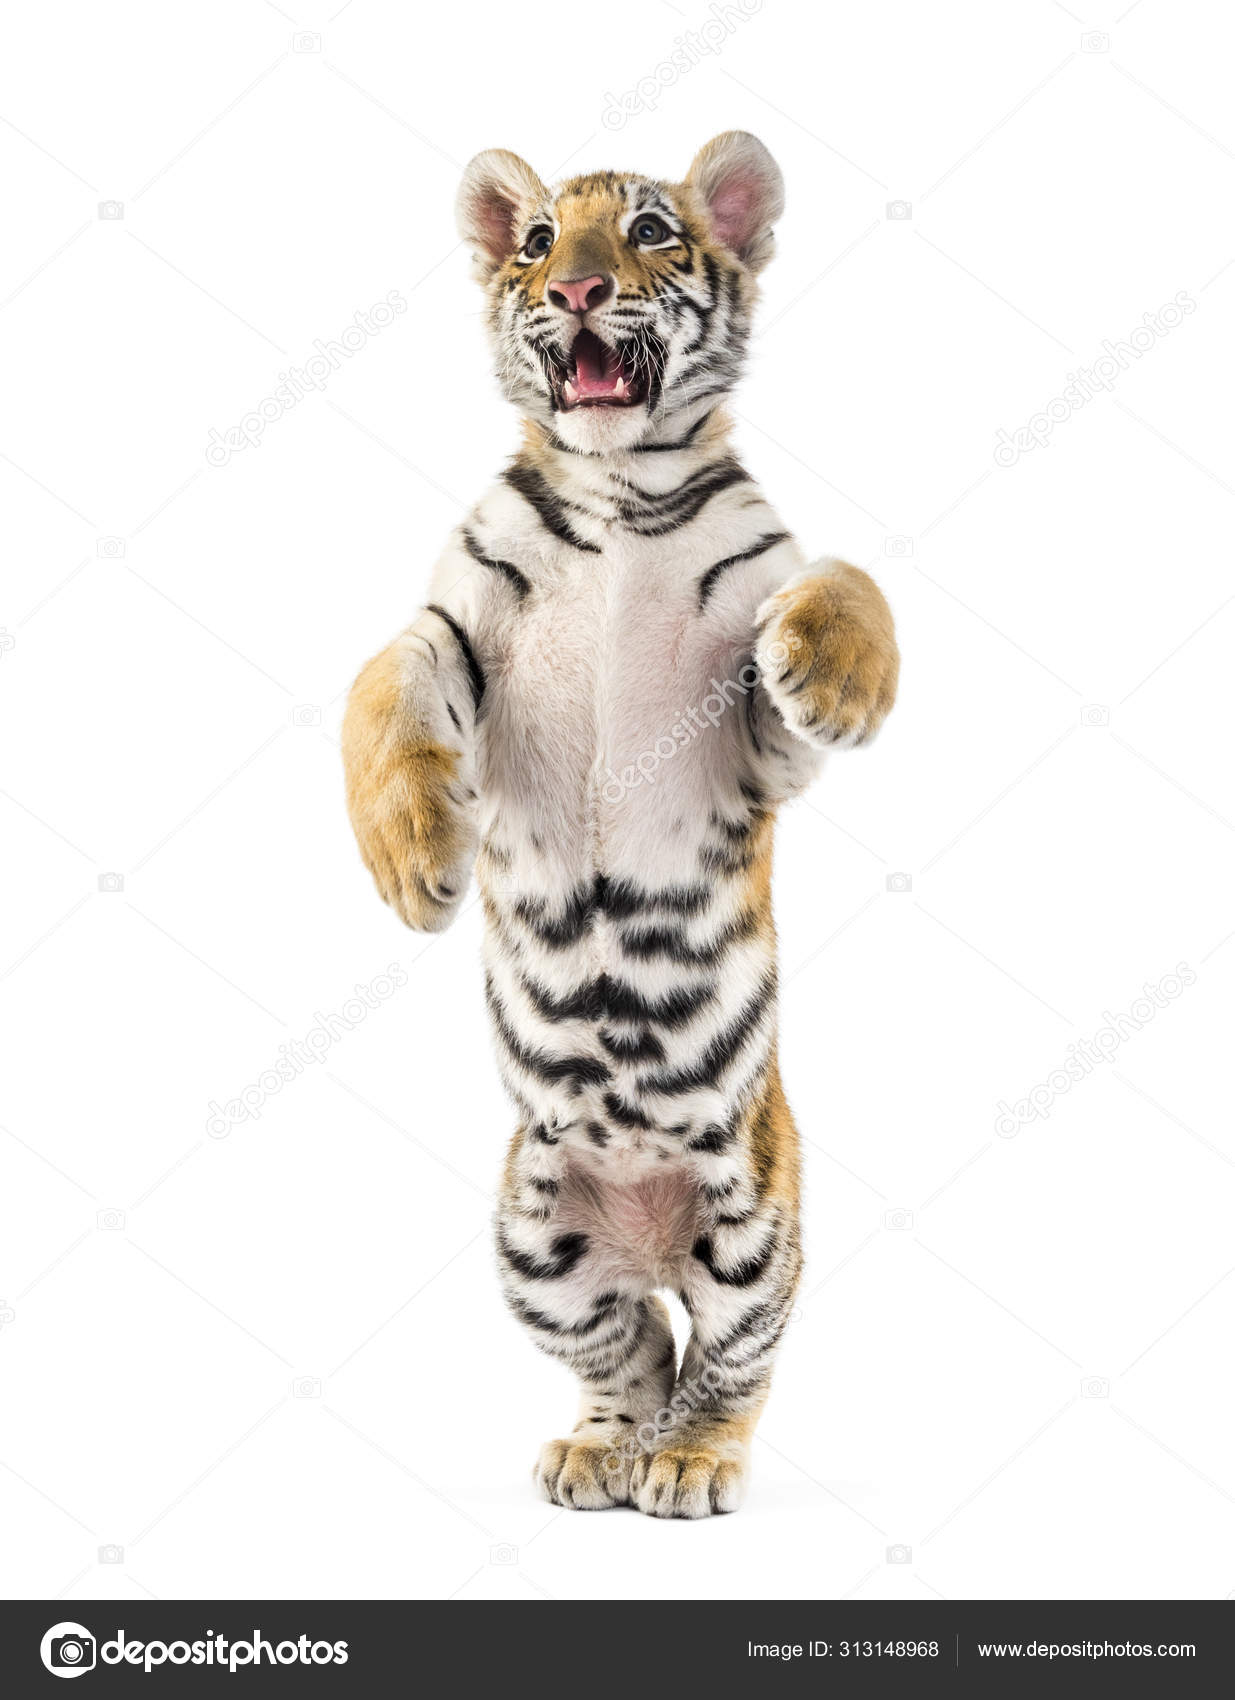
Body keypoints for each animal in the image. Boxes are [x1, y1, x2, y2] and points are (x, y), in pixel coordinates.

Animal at [341, 132, 899, 1518]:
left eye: (649, 231)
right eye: (540, 240)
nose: (578, 289)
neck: (615, 485)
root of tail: (648, 1232)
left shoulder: (754, 736)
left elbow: (842, 579)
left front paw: (838, 674)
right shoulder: (453, 633)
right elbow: (378, 687)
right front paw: (411, 858)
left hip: (750, 1221)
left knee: (729, 1357)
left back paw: (688, 1461)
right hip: (534, 1227)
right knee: (630, 1340)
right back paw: (601, 1448)